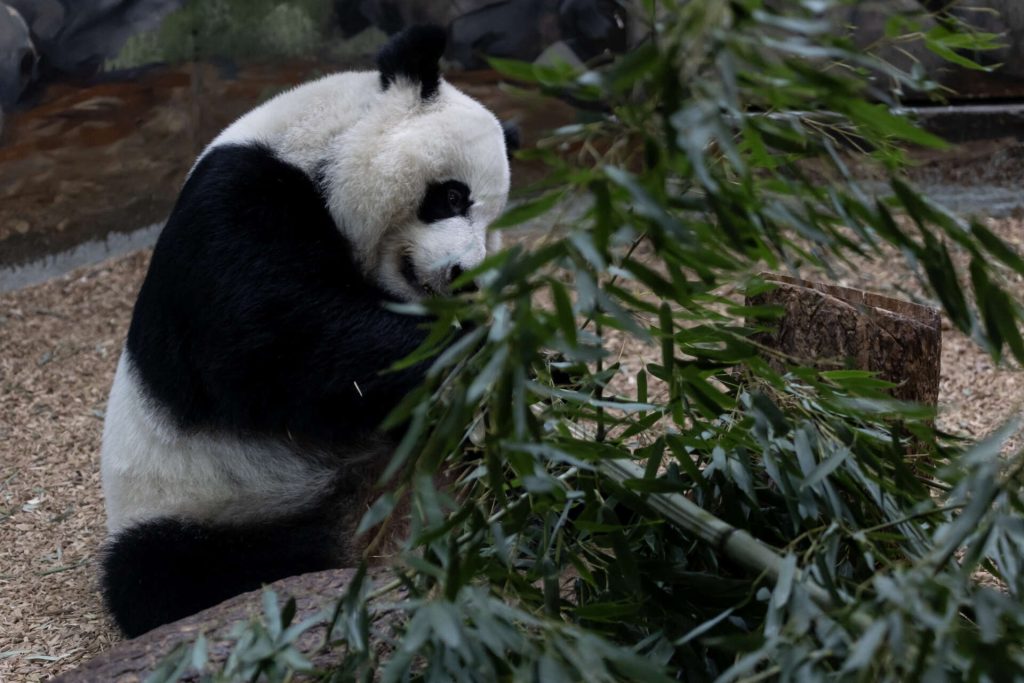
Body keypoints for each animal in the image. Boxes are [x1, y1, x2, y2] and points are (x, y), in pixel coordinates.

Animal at [98, 25, 515, 638]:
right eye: (453, 195)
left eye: (492, 227)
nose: (465, 275)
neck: (318, 145)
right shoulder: (238, 201)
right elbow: (276, 341)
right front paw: (471, 348)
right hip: (197, 501)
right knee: (165, 573)